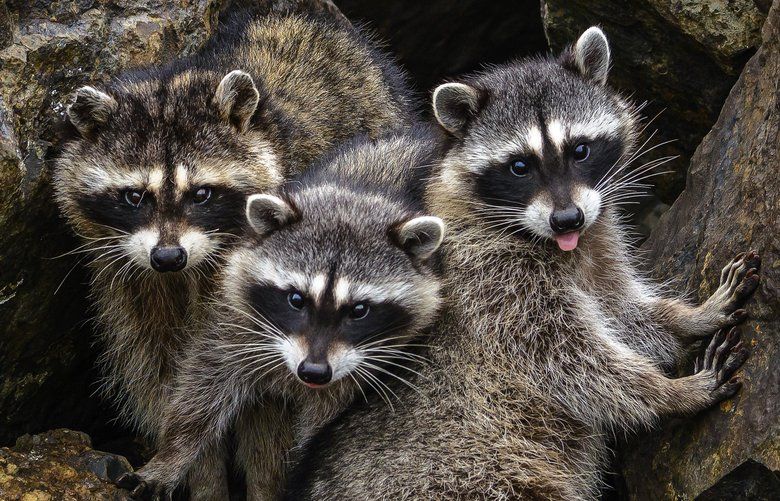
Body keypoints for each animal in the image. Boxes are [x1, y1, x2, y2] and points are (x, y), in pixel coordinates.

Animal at [116, 125, 446, 499]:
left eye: (359, 310)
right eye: (296, 299)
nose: (313, 372)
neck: (353, 195)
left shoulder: (353, 370)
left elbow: (319, 427)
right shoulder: (237, 315)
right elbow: (204, 383)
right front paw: (171, 455)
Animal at [284, 27, 762, 500]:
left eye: (580, 150)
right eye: (519, 166)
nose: (568, 219)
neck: (555, 244)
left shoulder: (599, 247)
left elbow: (623, 313)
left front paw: (689, 317)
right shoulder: (493, 283)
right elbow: (572, 360)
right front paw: (668, 393)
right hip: (469, 473)